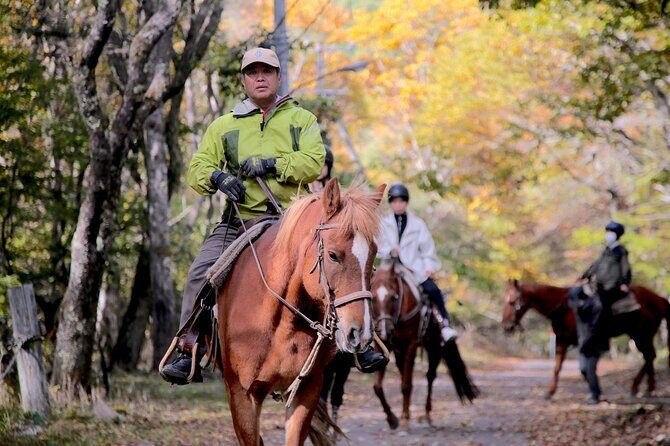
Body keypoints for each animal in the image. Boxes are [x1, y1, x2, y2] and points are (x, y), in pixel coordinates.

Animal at [217, 178, 385, 445]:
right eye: (333, 255)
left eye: (373, 255)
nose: (360, 334)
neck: (281, 324)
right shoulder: (241, 396)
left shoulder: (307, 391)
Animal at [371, 262, 478, 429]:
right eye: (373, 298)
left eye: (394, 297)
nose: (384, 330)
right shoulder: (384, 346)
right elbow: (378, 386)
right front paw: (392, 419)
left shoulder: (412, 344)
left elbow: (406, 385)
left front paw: (404, 420)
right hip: (401, 351)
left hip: (434, 347)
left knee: (430, 376)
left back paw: (427, 415)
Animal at [501, 279, 670, 398]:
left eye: (511, 302)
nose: (506, 326)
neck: (565, 307)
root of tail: (659, 299)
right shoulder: (562, 341)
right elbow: (557, 367)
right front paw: (550, 392)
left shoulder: (582, 342)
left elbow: (585, 367)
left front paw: (595, 391)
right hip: (639, 335)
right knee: (649, 357)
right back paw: (642, 388)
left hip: (643, 334)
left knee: (649, 356)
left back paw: (646, 388)